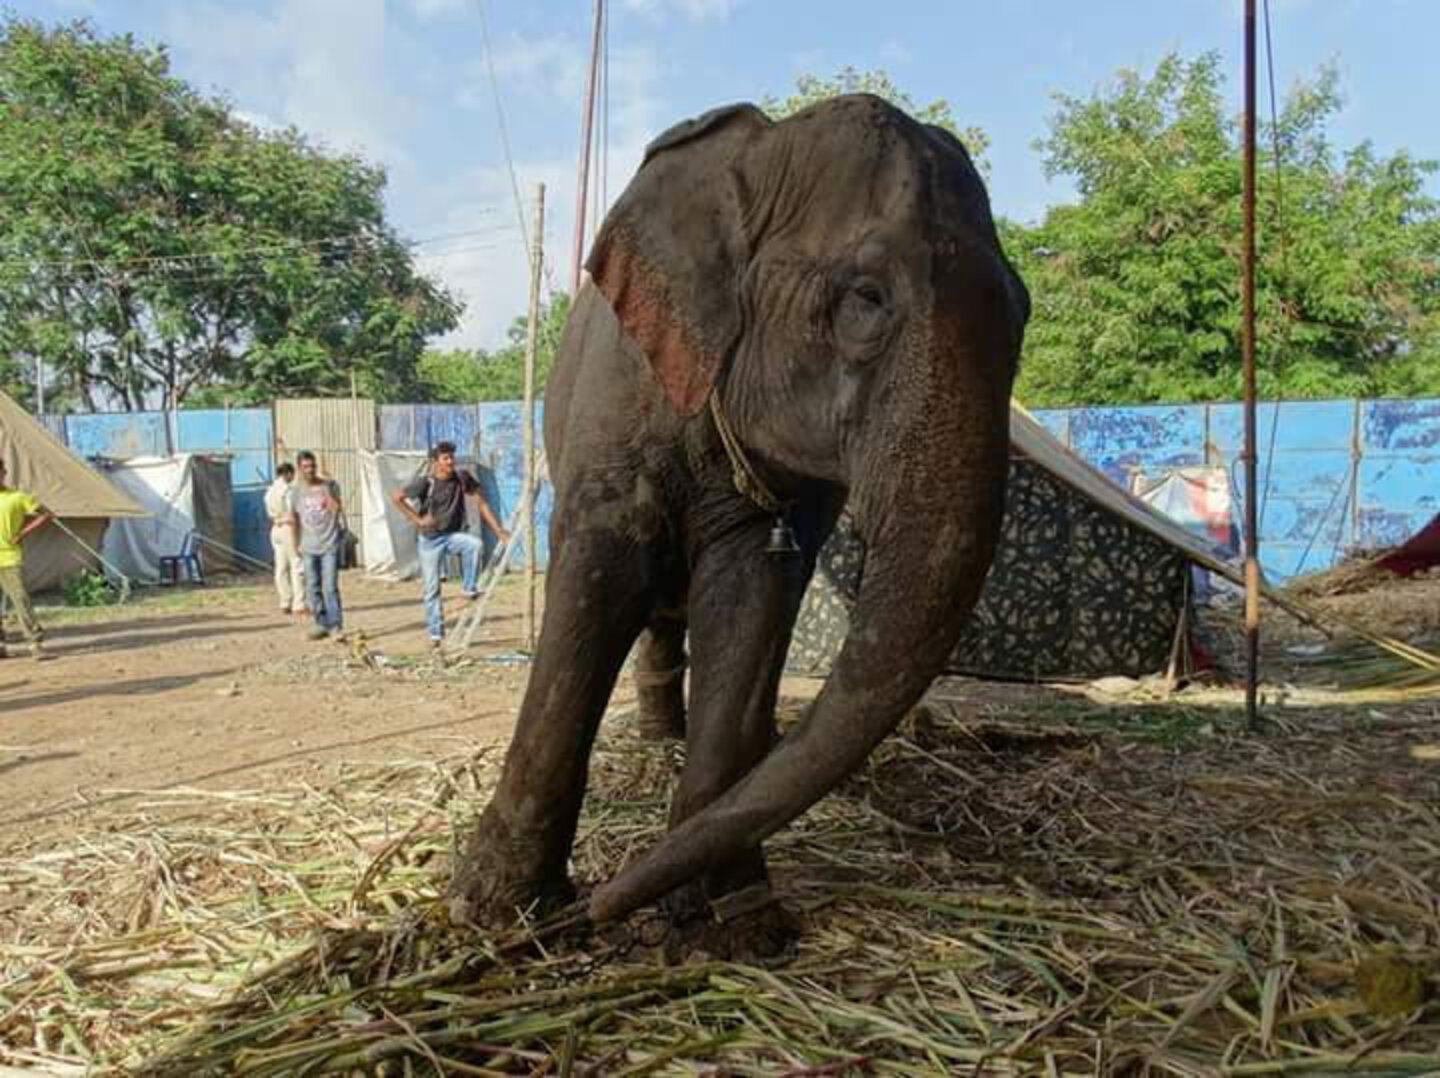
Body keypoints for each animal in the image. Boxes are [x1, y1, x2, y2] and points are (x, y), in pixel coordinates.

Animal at [448, 93, 1030, 951]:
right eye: (866, 297)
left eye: (1024, 311)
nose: (598, 909)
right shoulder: (616, 405)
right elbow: (599, 580)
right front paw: (494, 912)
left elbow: (751, 595)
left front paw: (735, 924)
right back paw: (656, 738)